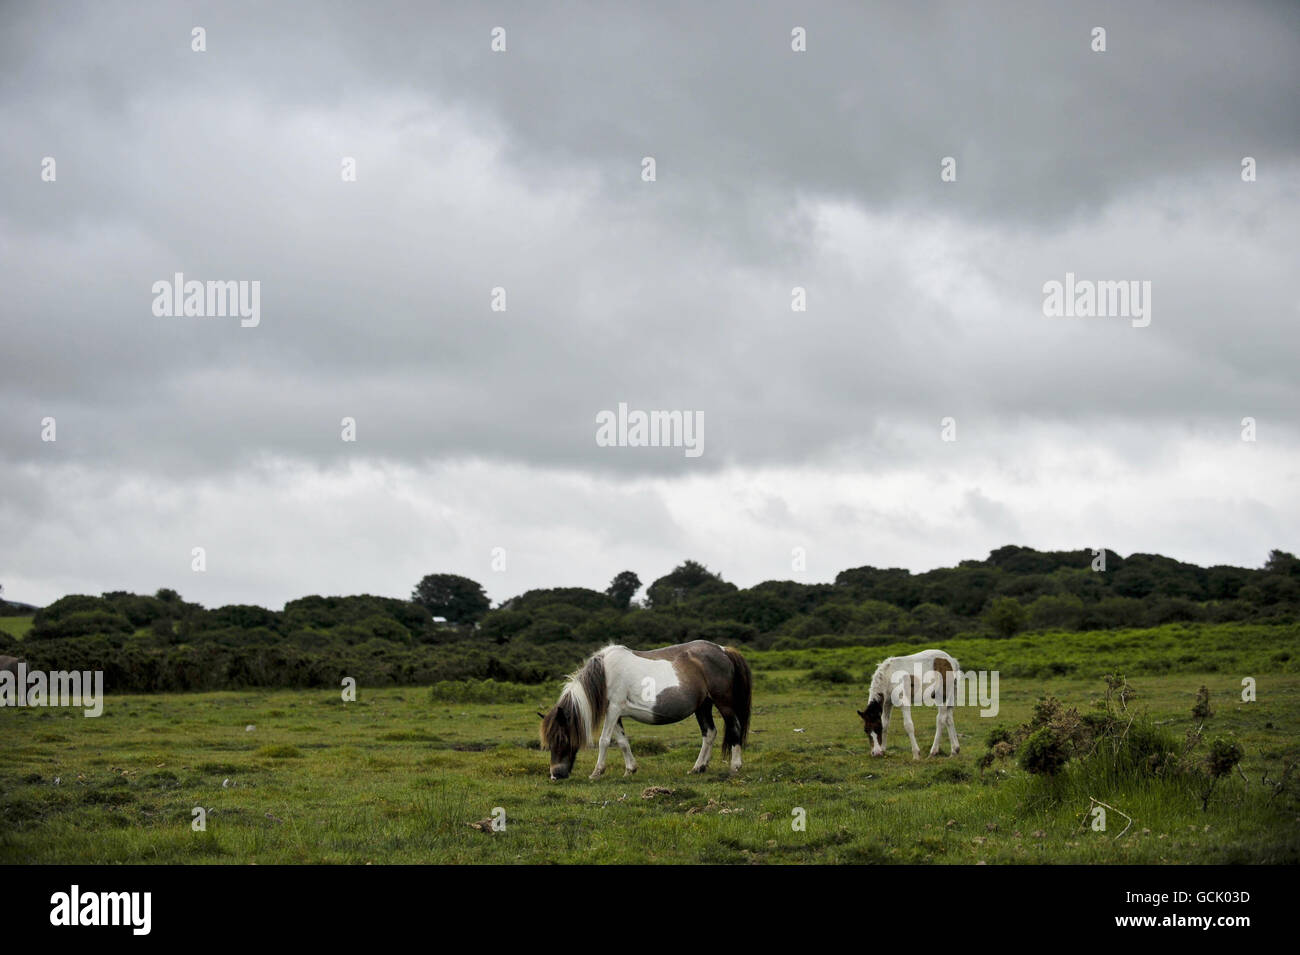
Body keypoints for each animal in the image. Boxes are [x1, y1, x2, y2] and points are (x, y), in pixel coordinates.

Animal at [539, 640, 752, 780]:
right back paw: (698, 767)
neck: (605, 674)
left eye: (561, 738)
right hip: (703, 706)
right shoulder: (615, 713)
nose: (555, 775)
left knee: (734, 728)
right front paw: (630, 770)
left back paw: (735, 766)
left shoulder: (613, 710)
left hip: (723, 703)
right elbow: (622, 741)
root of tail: (723, 650)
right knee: (709, 733)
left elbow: (604, 741)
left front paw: (597, 772)